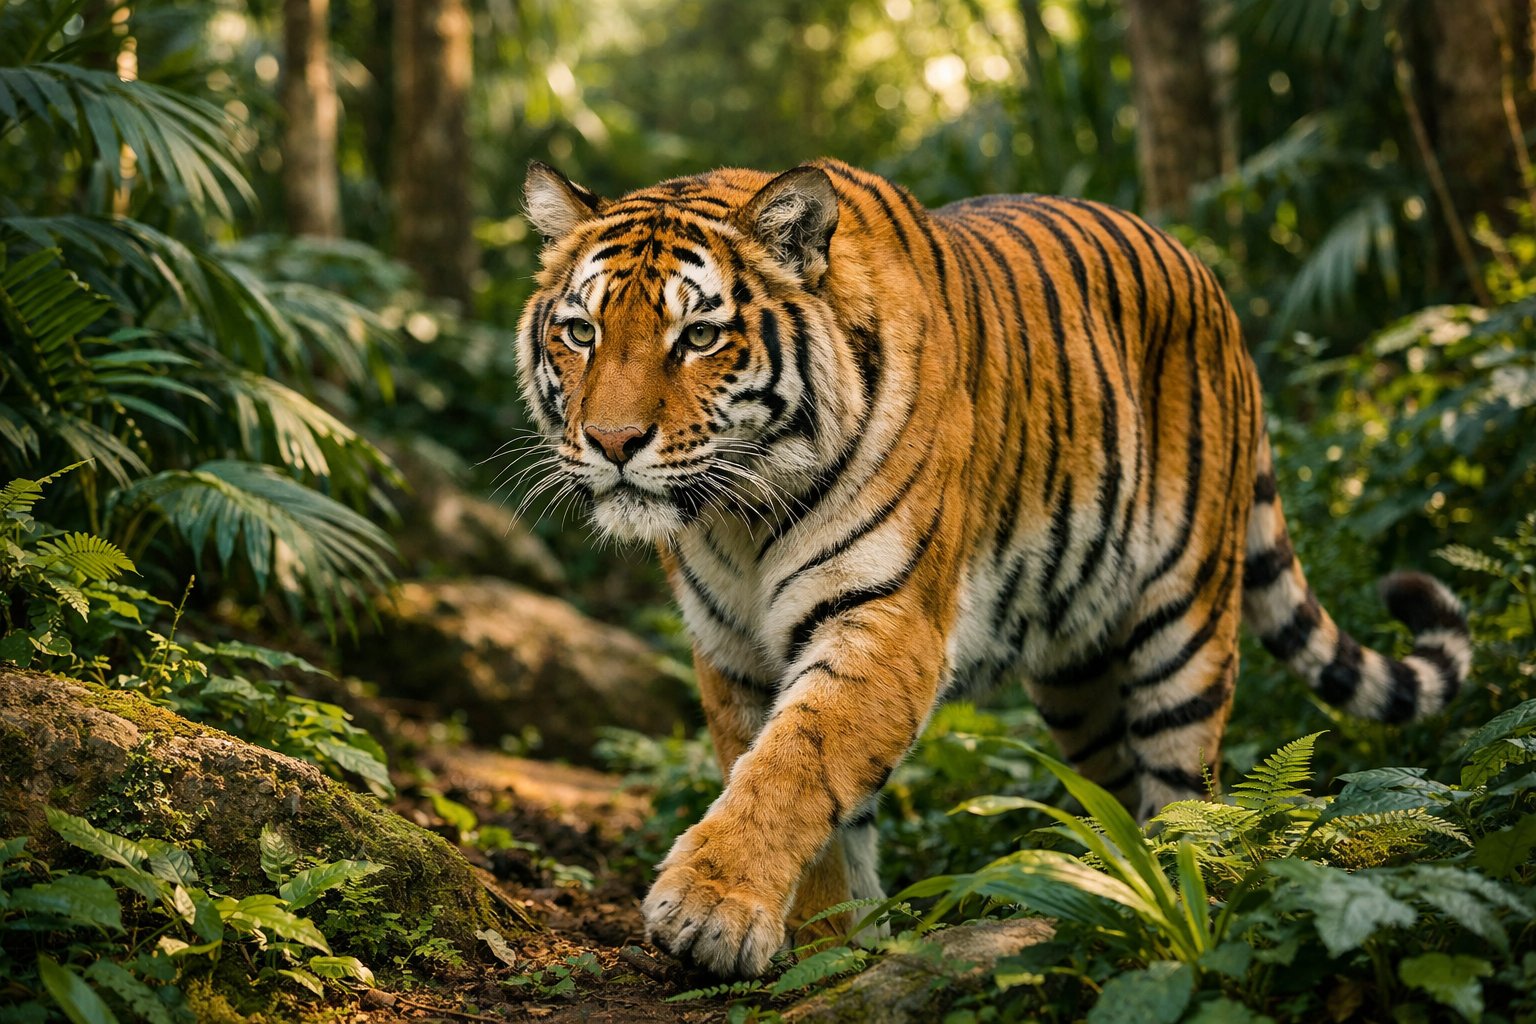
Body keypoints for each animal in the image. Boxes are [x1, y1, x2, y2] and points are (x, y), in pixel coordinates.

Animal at [513, 158, 1473, 978]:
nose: (612, 442)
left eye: (701, 335)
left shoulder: (885, 621)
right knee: (1112, 779)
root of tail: (1211, 288)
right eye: (581, 332)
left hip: (1188, 621)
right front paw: (825, 943)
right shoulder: (733, 653)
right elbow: (791, 785)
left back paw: (1184, 905)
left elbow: (794, 766)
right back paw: (1113, 886)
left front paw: (712, 908)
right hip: (1078, 673)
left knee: (1190, 793)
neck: (740, 516)